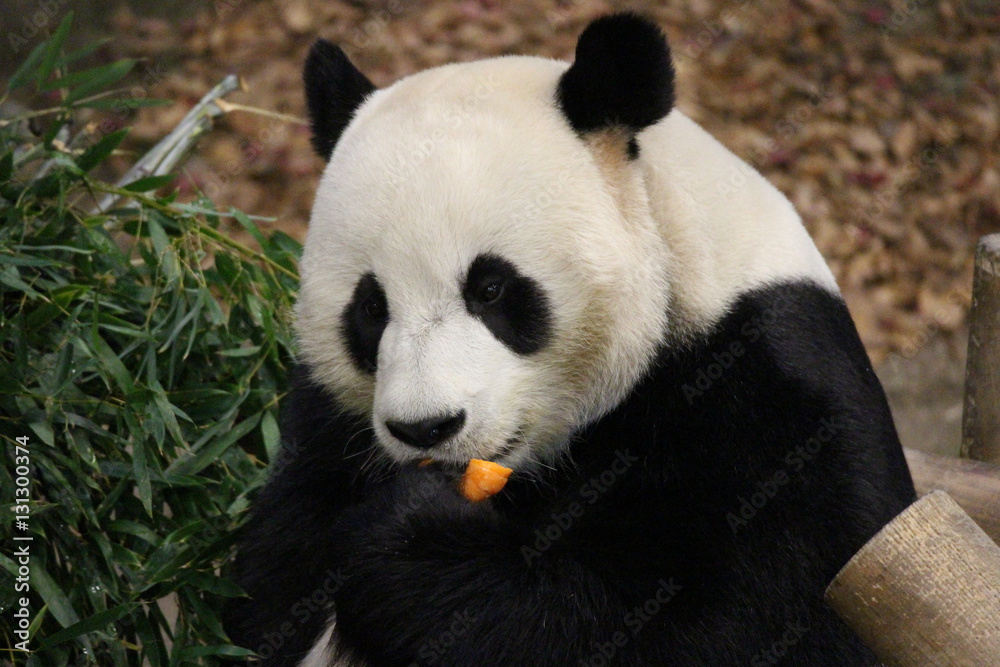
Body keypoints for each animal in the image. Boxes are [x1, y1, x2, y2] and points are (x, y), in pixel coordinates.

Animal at [225, 13, 915, 667]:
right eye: (370, 307)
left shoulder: (775, 394)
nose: (426, 428)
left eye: (491, 289)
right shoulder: (321, 426)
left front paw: (410, 539)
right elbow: (269, 589)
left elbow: (749, 623)